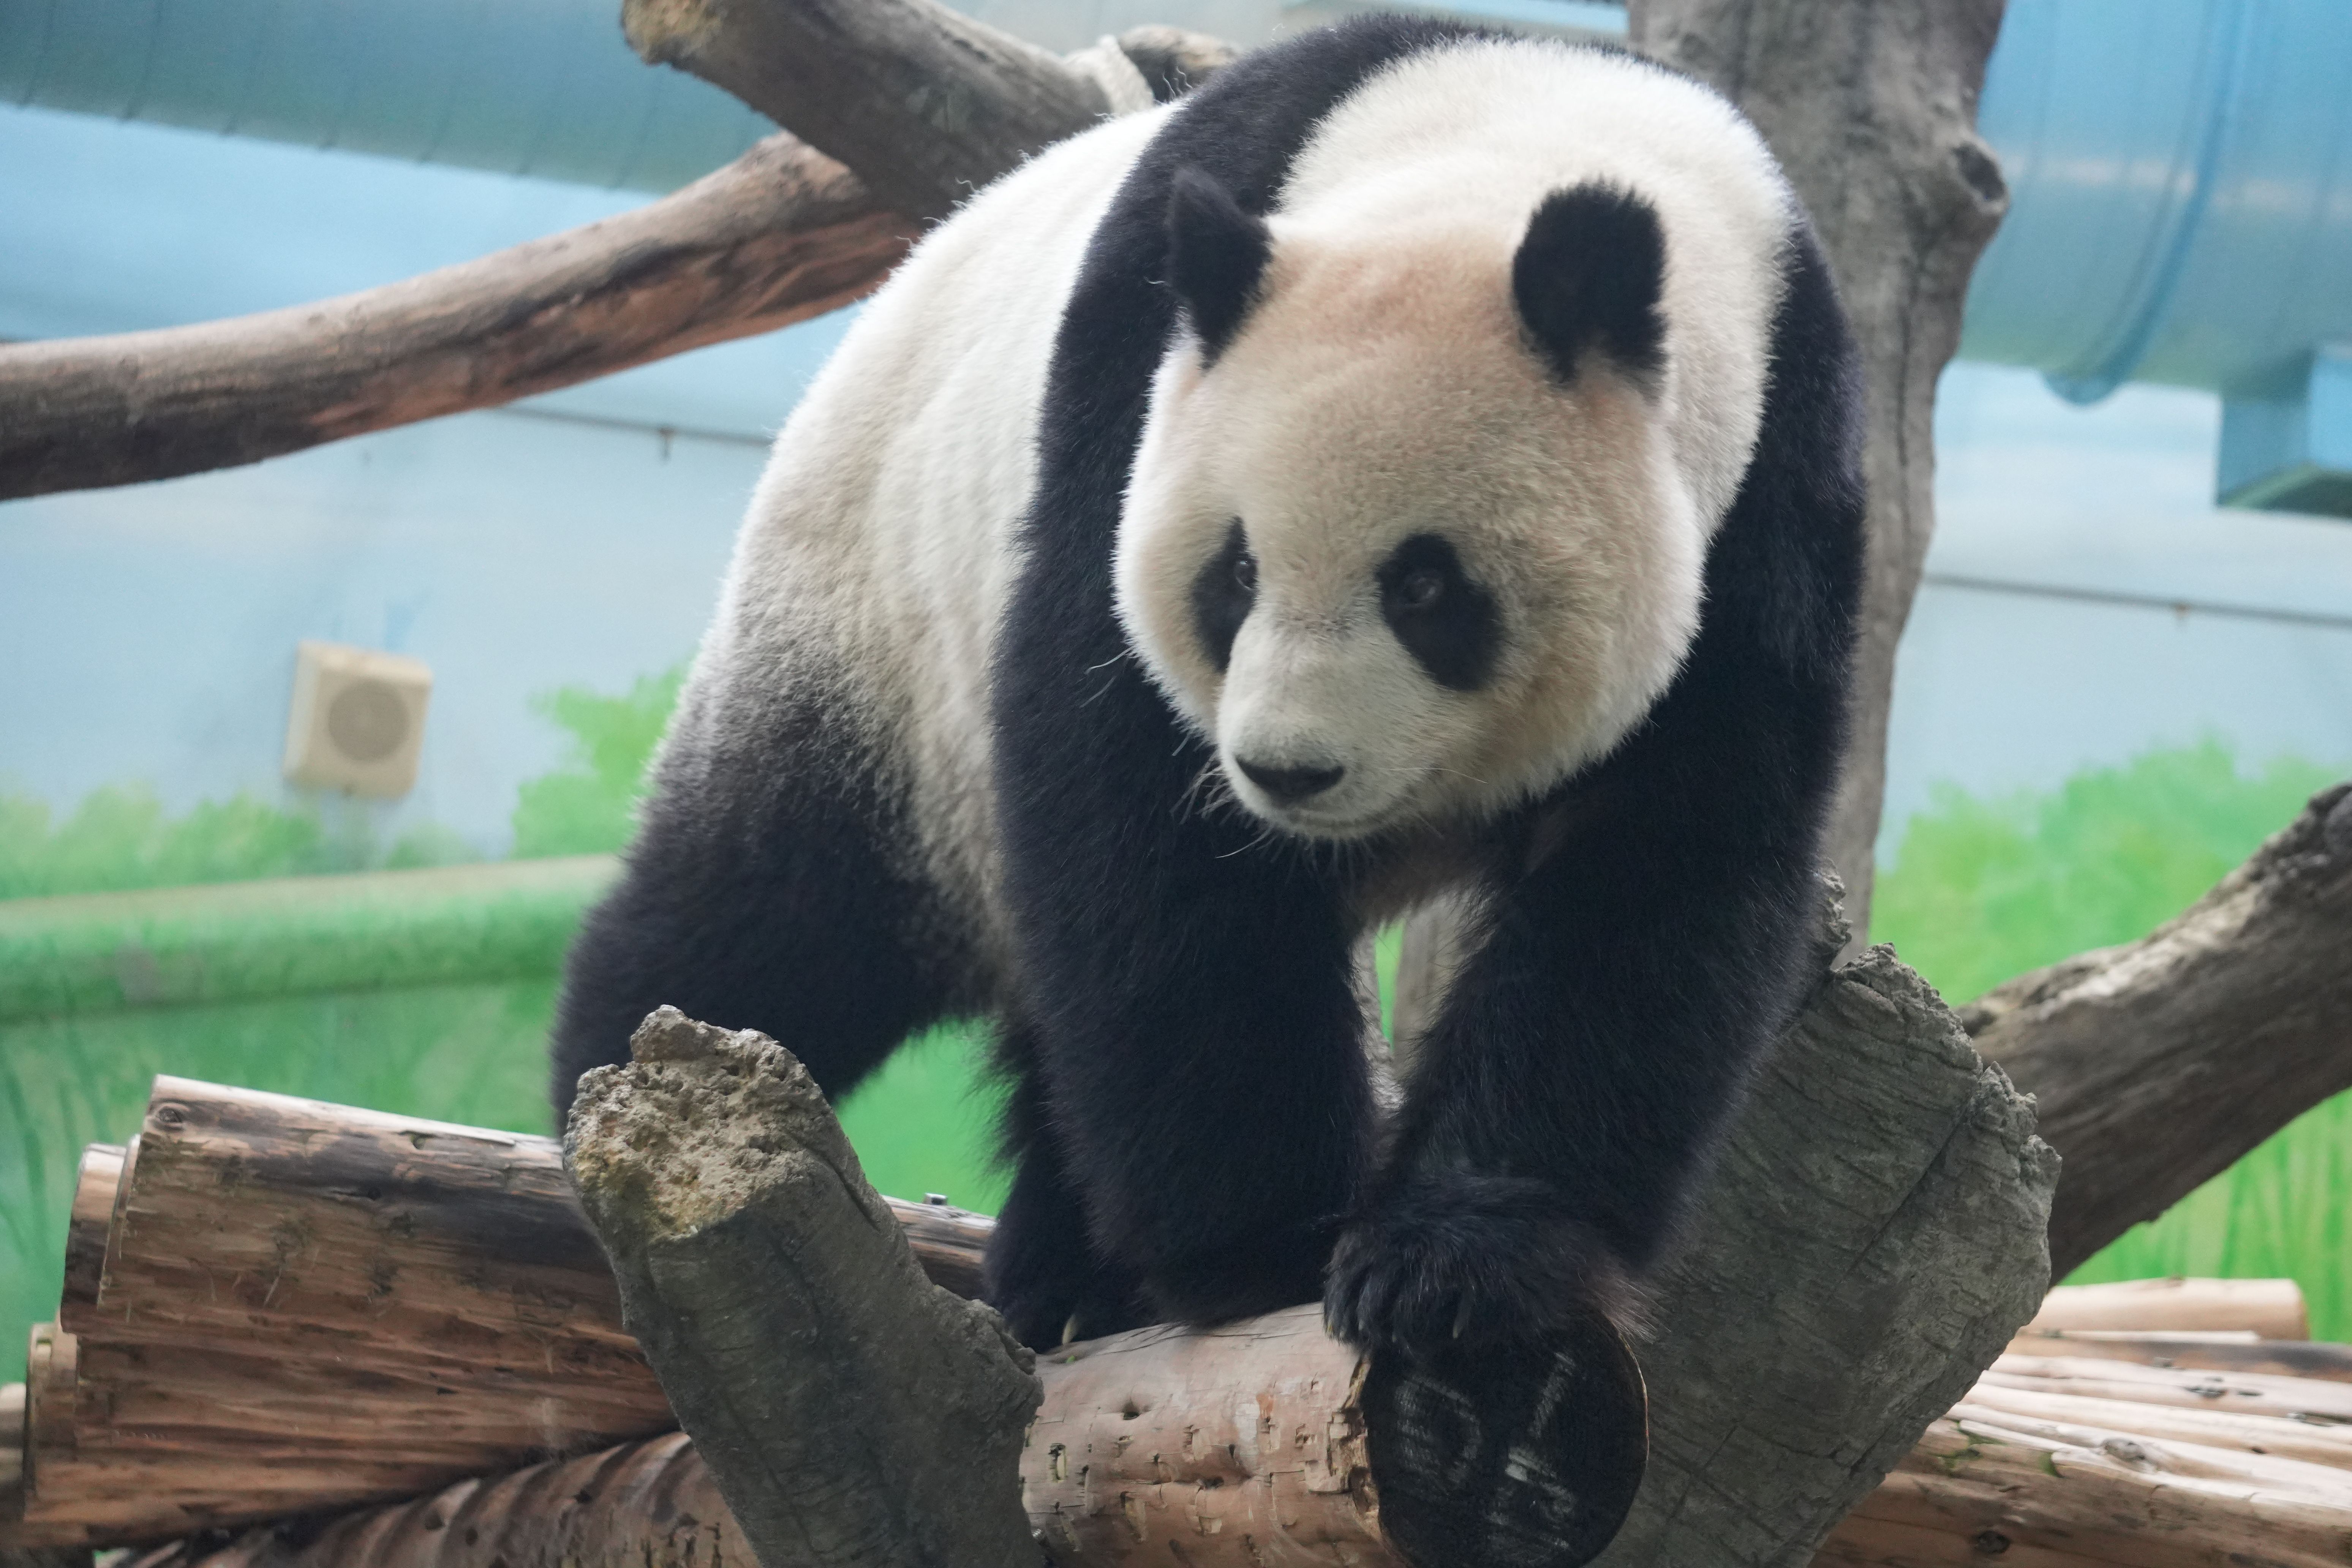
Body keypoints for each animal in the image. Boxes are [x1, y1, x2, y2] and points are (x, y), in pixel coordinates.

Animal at [550, 15, 1864, 1358]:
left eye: (1426, 586)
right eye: (1235, 572)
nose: (1289, 770)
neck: (1515, 142)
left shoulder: (1771, 507)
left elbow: (1655, 871)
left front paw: (1463, 1262)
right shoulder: (1132, 395)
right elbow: (1148, 839)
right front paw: (1262, 1246)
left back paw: (1069, 1272)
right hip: (872, 644)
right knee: (775, 914)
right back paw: (613, 1095)